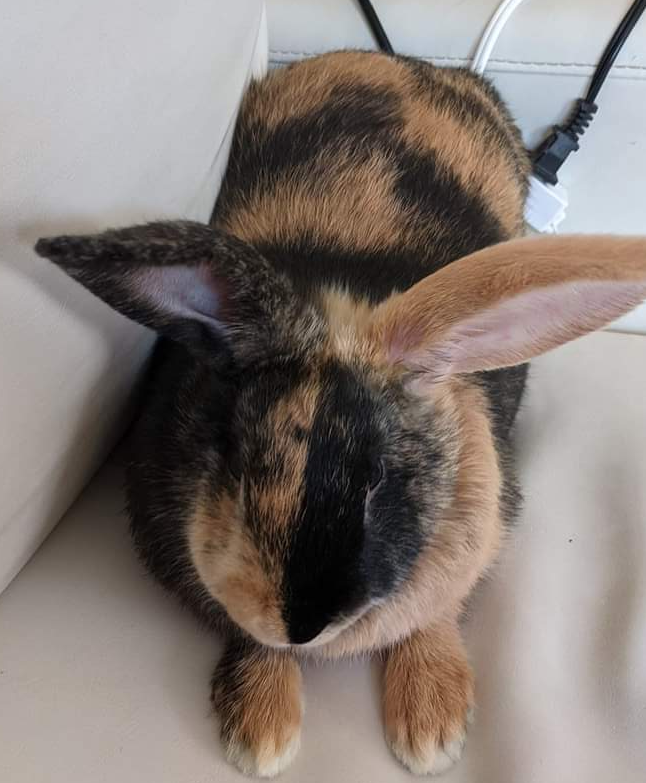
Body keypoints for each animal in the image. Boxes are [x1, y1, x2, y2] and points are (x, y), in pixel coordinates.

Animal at [35, 51, 646, 777]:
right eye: (238, 460)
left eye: (378, 481)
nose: (299, 624)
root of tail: (399, 61)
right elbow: (249, 641)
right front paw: (262, 736)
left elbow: (436, 615)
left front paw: (432, 731)